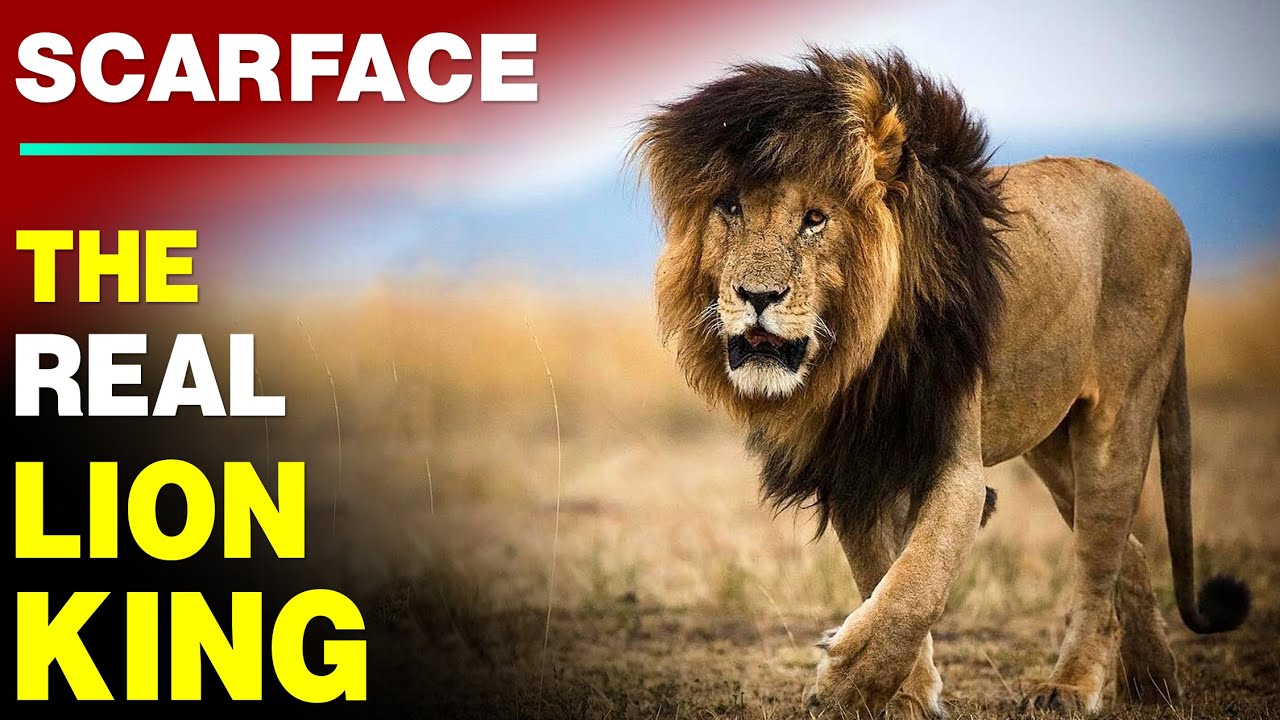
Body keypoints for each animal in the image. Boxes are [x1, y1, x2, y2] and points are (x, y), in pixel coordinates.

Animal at [632, 49, 1250, 717]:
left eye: (815, 219)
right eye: (731, 209)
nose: (757, 296)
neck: (858, 357)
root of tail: (1162, 202)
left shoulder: (954, 464)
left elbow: (919, 578)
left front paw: (848, 681)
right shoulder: (853, 467)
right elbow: (881, 573)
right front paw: (902, 694)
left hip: (1119, 416)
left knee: (1098, 556)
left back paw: (1071, 685)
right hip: (1051, 442)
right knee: (1126, 550)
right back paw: (1154, 683)